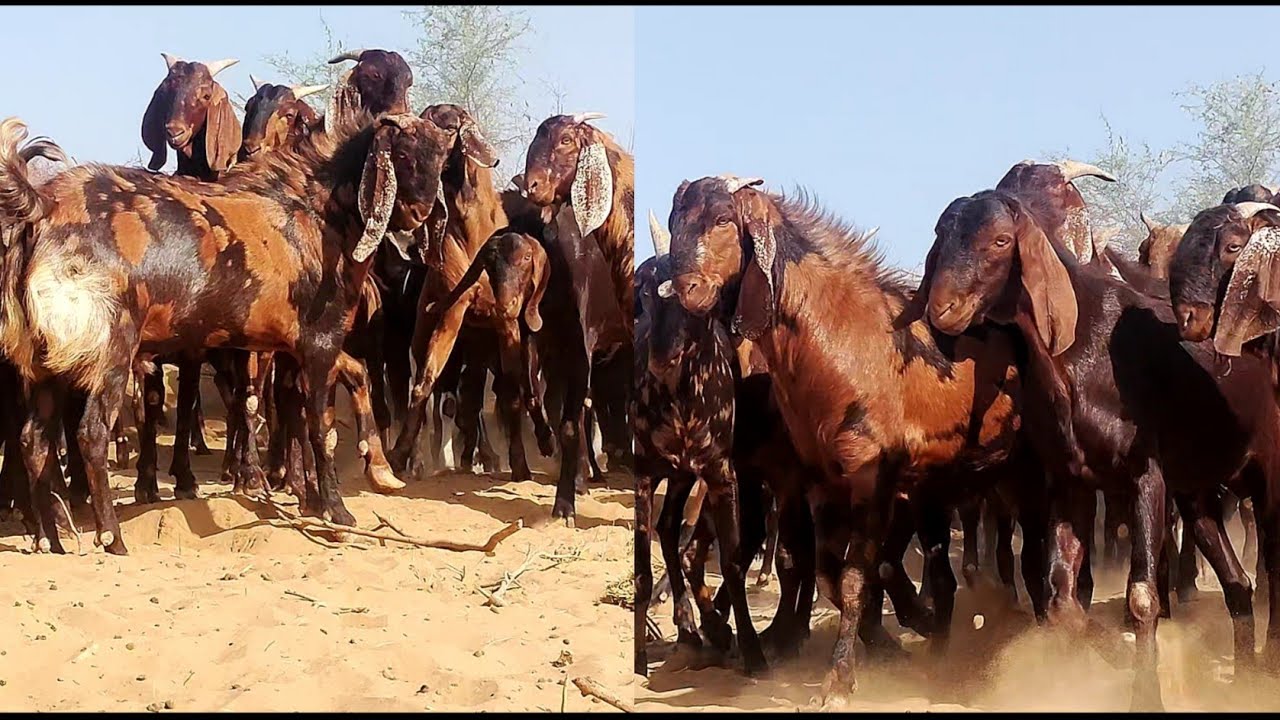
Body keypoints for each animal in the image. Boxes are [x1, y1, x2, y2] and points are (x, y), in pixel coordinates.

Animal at [911, 189, 1280, 710]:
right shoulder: (1073, 482)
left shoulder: (1146, 478)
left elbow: (1142, 596)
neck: (1083, 350)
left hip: (1268, 477)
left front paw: (1146, 695)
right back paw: (1244, 679)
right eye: (942, 233)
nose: (943, 309)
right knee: (1237, 583)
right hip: (1197, 494)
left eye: (1001, 240)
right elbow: (1062, 598)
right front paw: (1114, 658)